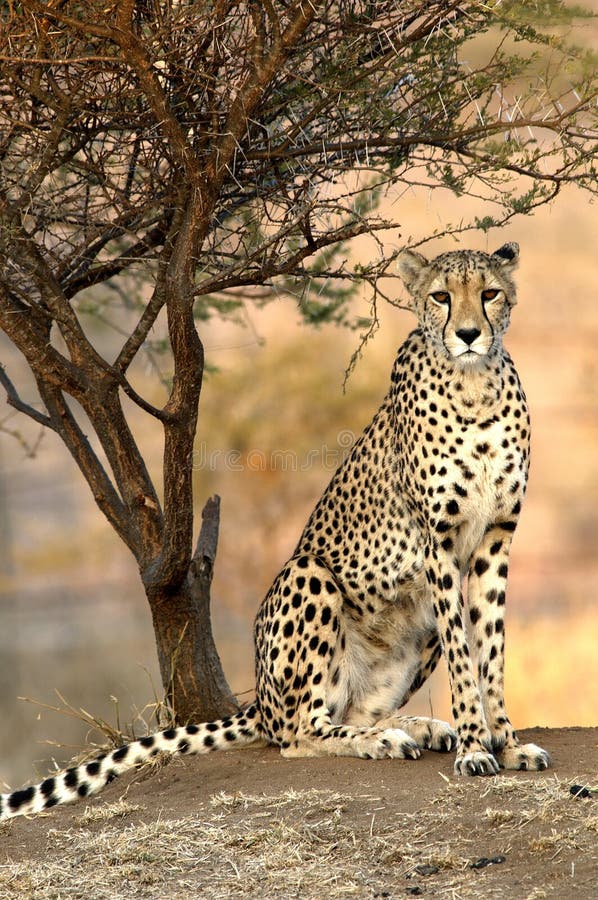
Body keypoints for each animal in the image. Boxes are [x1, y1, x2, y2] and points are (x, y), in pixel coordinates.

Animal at [0, 241, 550, 821]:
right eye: (441, 297)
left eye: (490, 293)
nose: (468, 334)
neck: (475, 384)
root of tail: (259, 703)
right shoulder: (438, 544)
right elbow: (467, 657)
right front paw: (475, 747)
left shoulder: (496, 538)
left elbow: (491, 647)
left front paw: (506, 743)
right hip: (310, 574)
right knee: (298, 731)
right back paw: (383, 739)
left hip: (411, 634)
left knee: (350, 710)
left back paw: (414, 727)